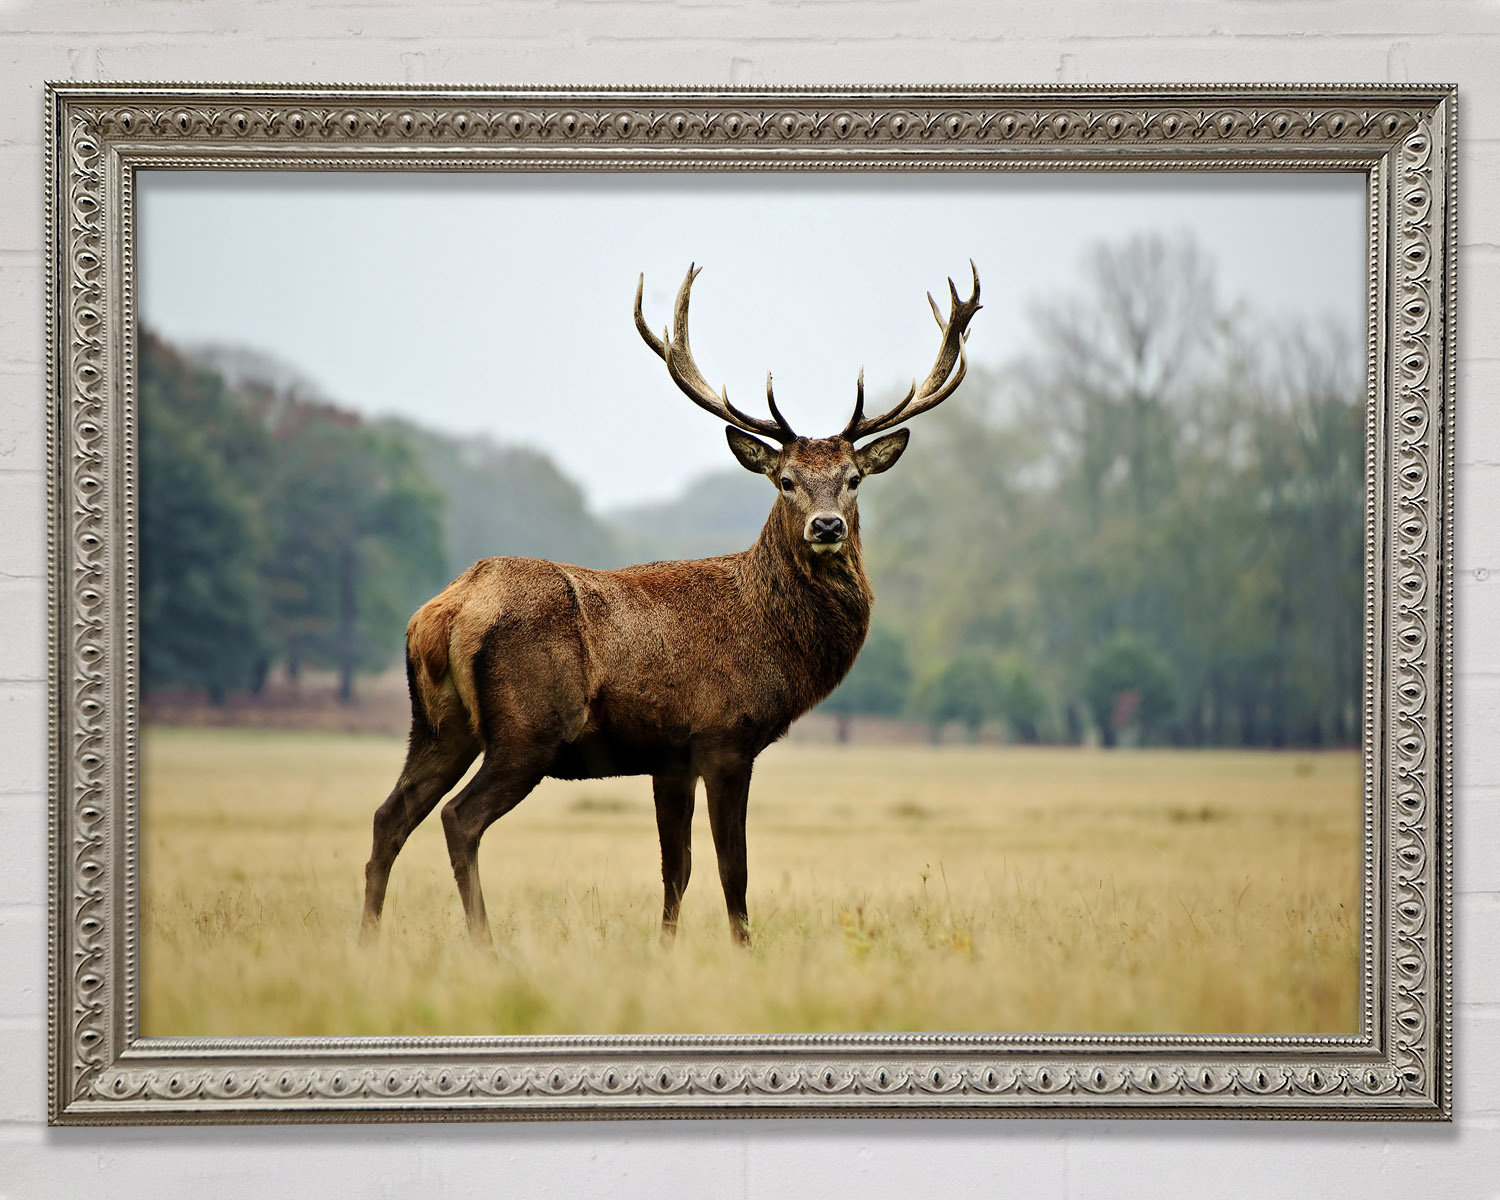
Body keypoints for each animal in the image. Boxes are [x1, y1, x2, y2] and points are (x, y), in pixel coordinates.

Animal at [360, 262, 982, 946]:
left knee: (389, 816)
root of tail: (447, 611)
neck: (774, 639)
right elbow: (732, 867)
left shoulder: (670, 757)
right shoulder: (725, 737)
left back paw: (367, 941)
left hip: (439, 725)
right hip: (528, 728)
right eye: (786, 480)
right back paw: (484, 946)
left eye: (853, 479)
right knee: (458, 819)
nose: (826, 526)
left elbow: (675, 869)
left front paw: (665, 949)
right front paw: (743, 950)